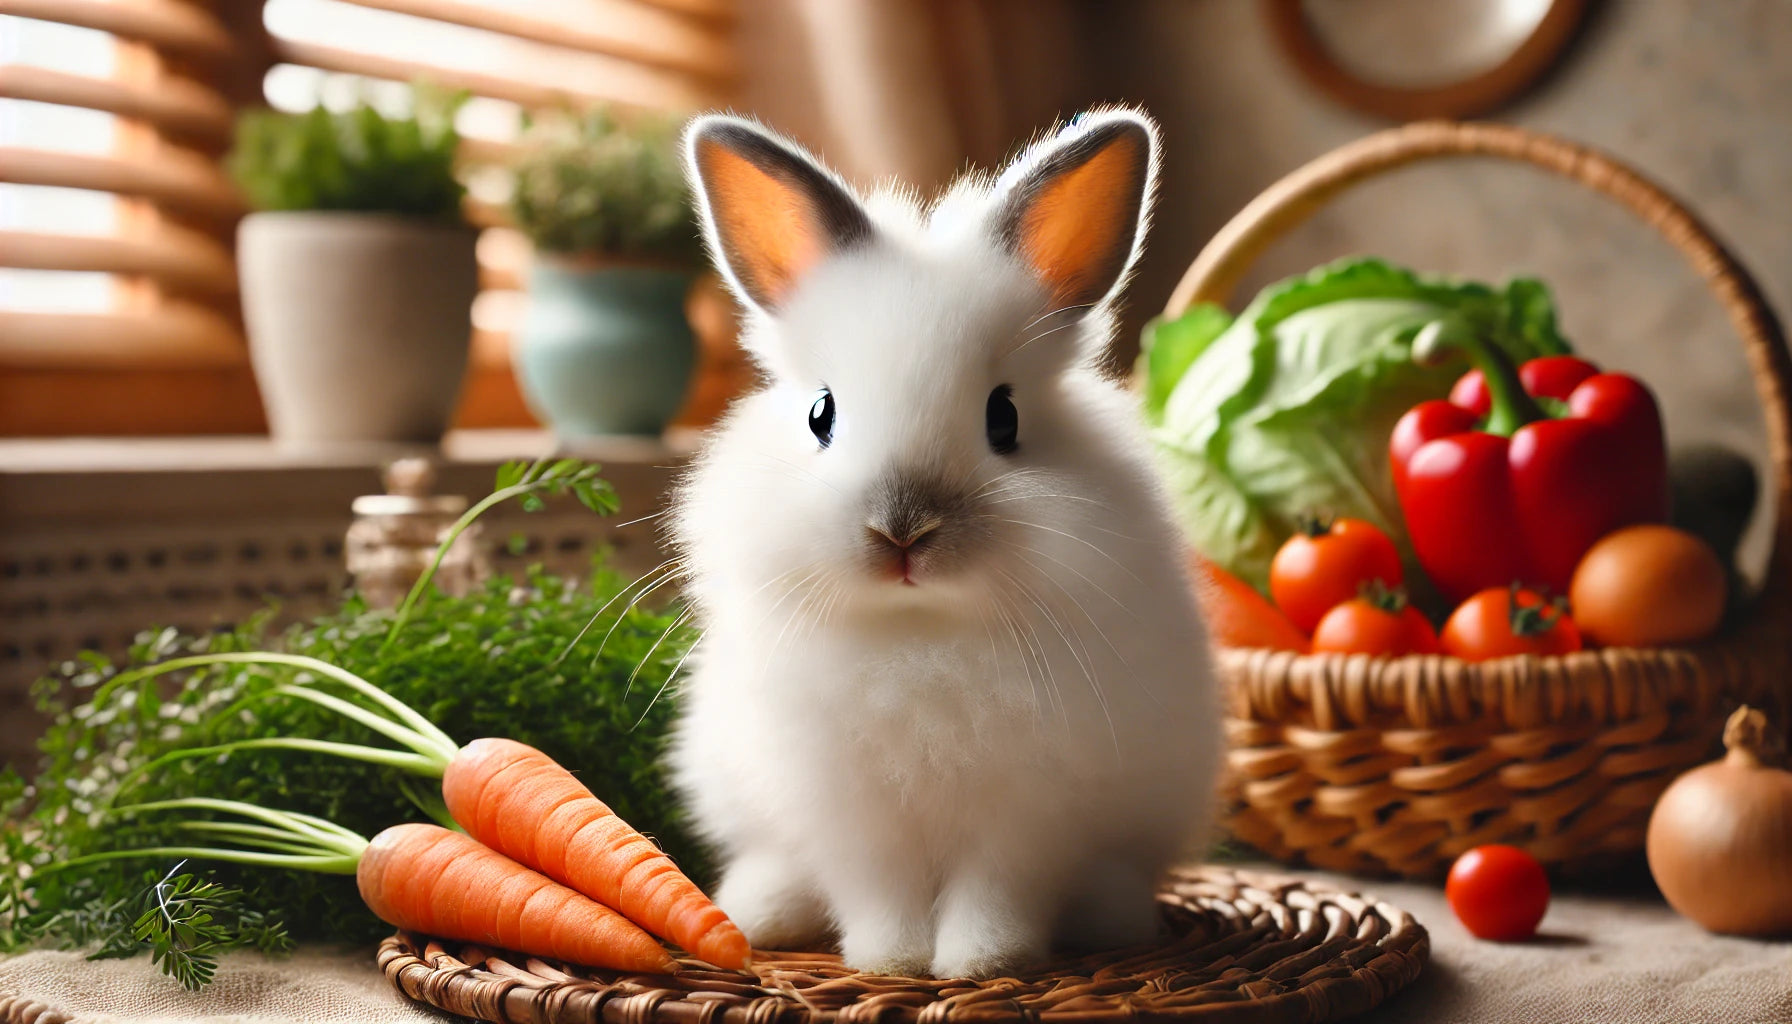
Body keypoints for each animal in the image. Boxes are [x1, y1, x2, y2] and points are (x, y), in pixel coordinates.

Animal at [667, 107, 1219, 982]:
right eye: (821, 413)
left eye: (1005, 418)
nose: (904, 529)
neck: (920, 633)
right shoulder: (848, 810)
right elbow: (877, 889)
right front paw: (891, 962)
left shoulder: (1030, 809)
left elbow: (996, 889)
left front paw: (980, 964)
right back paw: (761, 911)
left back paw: (1113, 919)